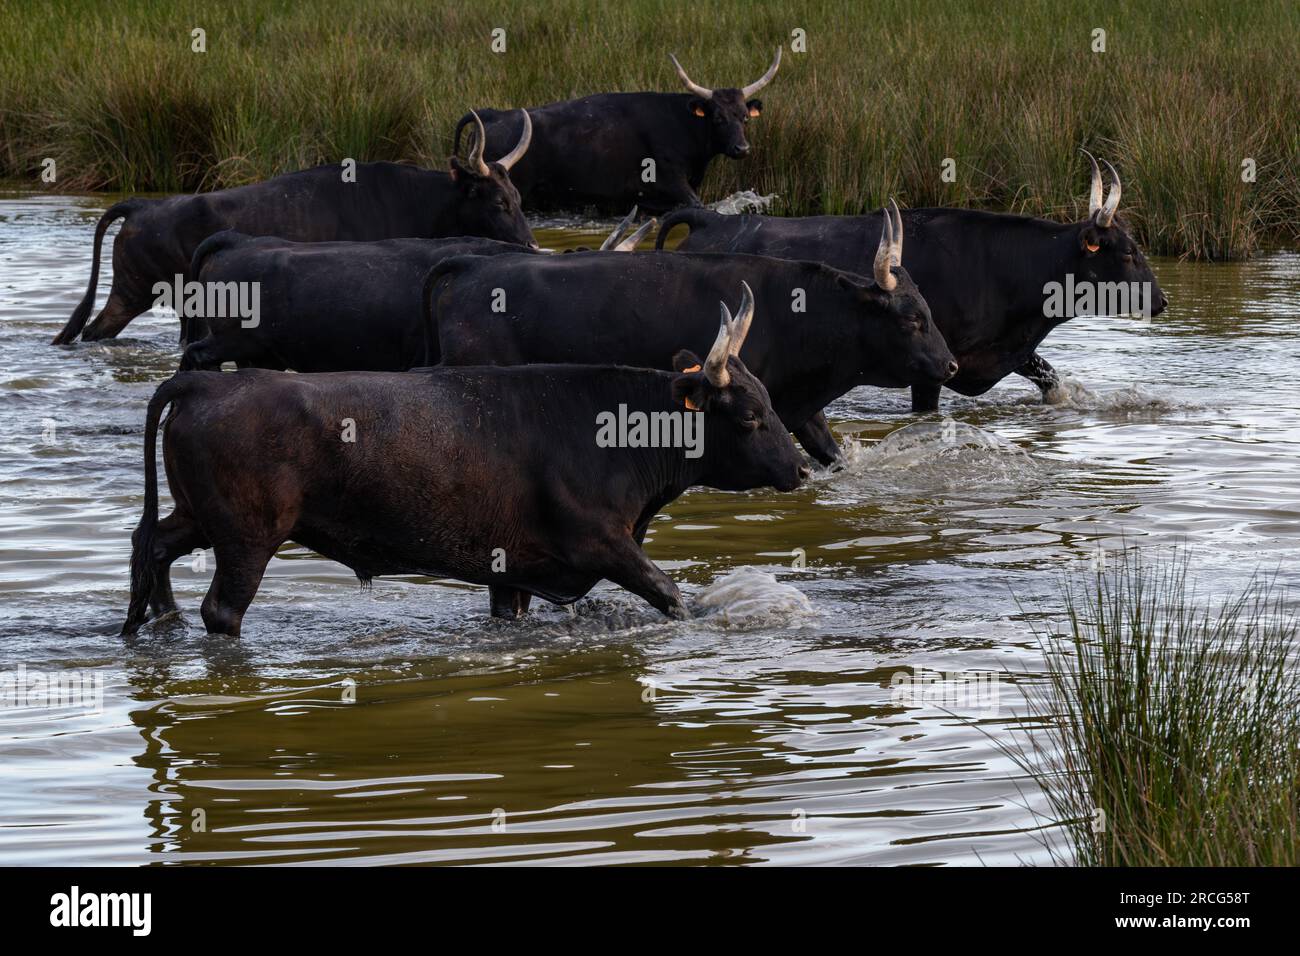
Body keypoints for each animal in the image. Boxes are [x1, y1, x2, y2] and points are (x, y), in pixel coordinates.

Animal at [51, 110, 536, 346]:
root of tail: (141, 206)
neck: (415, 199)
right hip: (134, 291)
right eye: (497, 201)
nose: (532, 245)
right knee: (94, 331)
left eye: (518, 198)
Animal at [119, 294, 808, 637]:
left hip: (198, 516)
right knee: (221, 610)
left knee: (151, 547)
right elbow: (672, 597)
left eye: (771, 405)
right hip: (247, 537)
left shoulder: (516, 569)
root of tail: (210, 384)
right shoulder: (600, 542)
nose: (800, 471)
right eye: (750, 415)